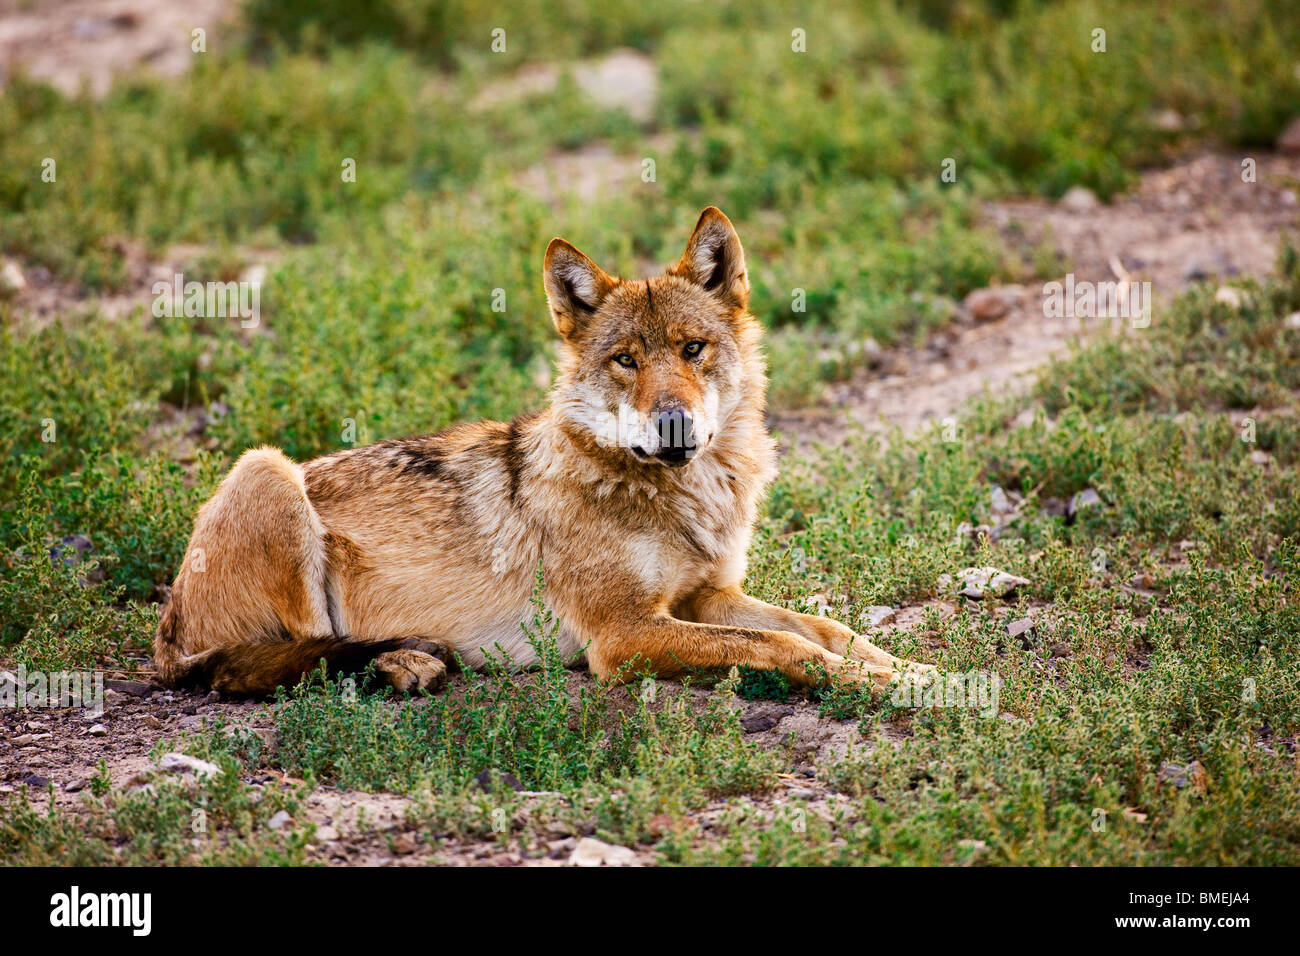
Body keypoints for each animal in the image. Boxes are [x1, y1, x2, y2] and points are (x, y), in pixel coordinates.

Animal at [153, 207, 933, 696]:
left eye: (692, 349)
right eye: (625, 360)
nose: (674, 424)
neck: (686, 496)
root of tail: (166, 639)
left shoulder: (708, 594)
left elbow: (824, 627)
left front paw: (913, 671)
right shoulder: (622, 635)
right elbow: (784, 647)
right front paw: (879, 684)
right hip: (267, 468)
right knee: (271, 665)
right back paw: (403, 664)